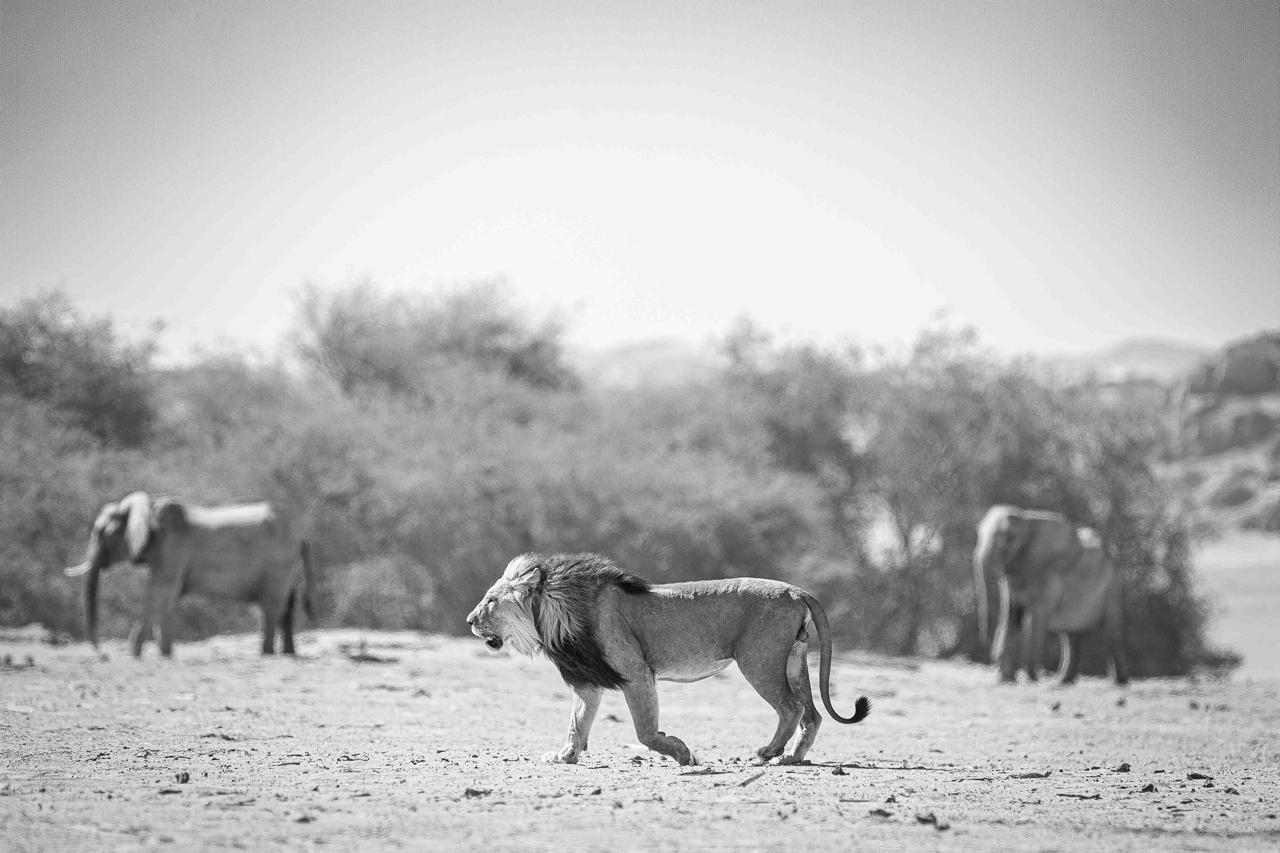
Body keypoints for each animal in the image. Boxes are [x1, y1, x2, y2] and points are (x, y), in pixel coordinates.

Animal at [465, 552, 870, 767]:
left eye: (490, 600)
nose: (469, 621)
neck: (555, 614)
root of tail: (796, 590)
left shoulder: (635, 672)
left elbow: (644, 731)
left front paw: (681, 753)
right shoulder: (588, 680)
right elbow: (577, 723)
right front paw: (564, 756)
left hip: (759, 660)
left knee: (791, 708)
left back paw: (767, 753)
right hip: (794, 661)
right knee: (812, 713)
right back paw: (793, 757)